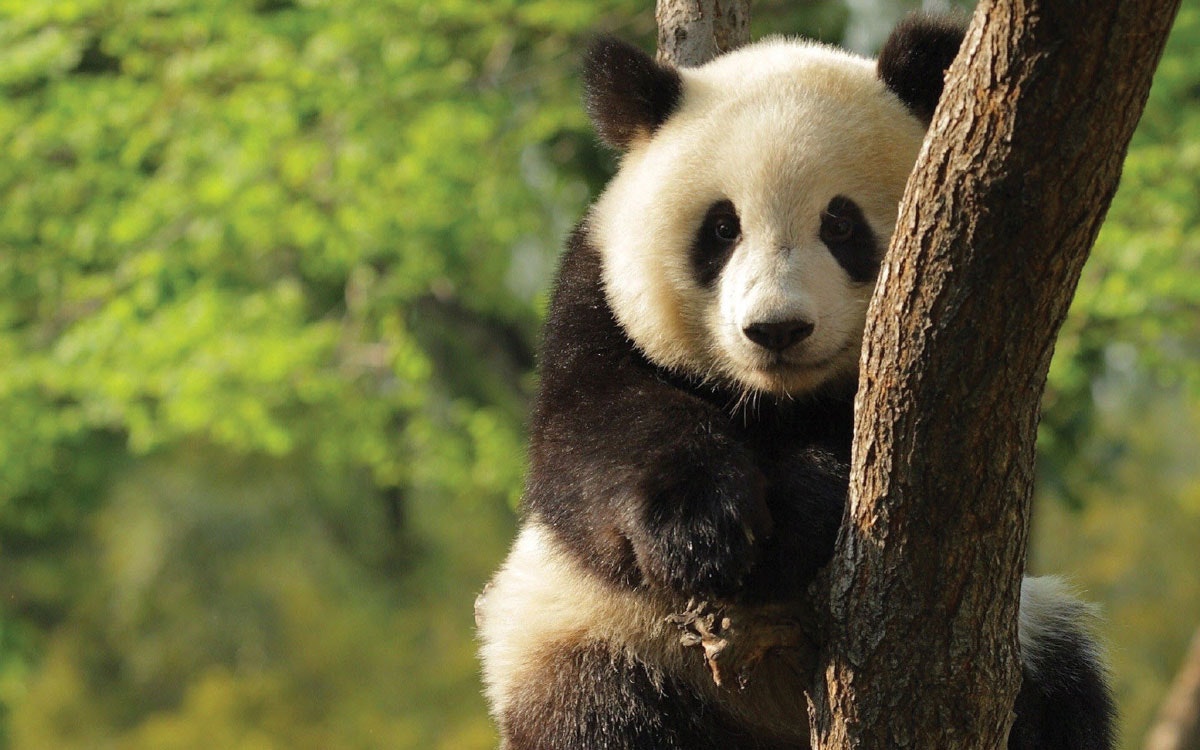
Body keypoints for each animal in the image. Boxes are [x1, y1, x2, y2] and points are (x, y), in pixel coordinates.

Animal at [476, 14, 1116, 750]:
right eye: (721, 227)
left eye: (839, 222)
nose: (777, 329)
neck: (775, 402)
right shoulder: (596, 299)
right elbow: (589, 440)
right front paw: (703, 528)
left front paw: (790, 516)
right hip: (581, 635)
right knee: (597, 710)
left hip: (1030, 633)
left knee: (1064, 691)